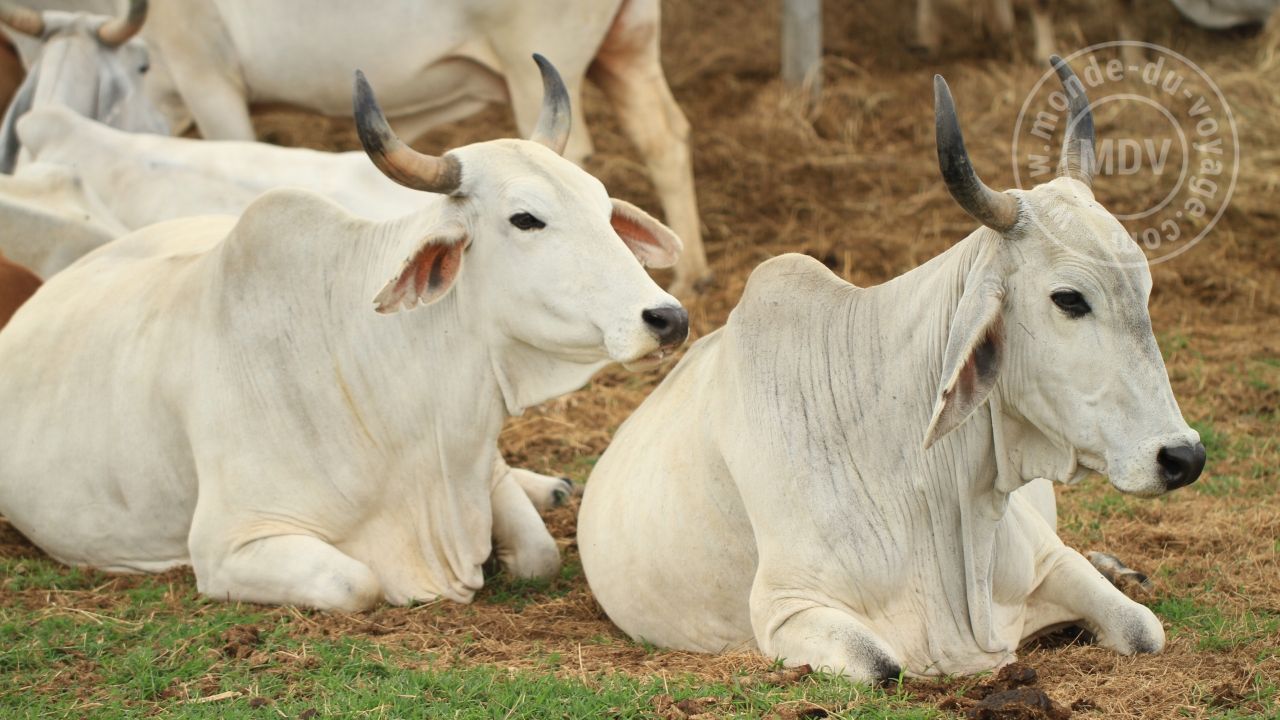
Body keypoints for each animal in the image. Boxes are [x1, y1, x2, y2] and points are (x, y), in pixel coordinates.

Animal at [0, 56, 691, 607]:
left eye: (603, 206)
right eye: (526, 219)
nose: (669, 318)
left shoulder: (478, 468)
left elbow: (540, 555)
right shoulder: (230, 543)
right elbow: (356, 582)